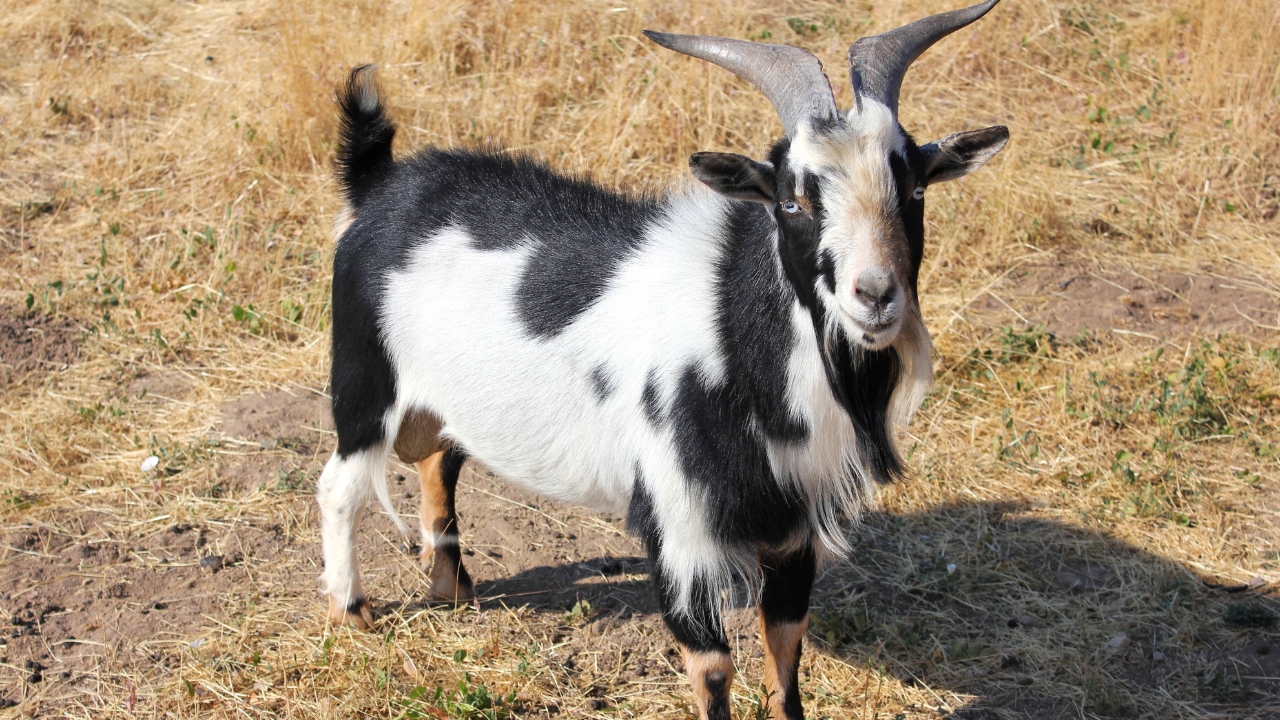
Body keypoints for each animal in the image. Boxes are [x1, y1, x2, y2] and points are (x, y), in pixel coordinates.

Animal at [318, 2, 1008, 718]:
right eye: (793, 200)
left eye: (915, 190)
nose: (873, 296)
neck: (733, 328)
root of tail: (381, 184)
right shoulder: (680, 526)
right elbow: (712, 668)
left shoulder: (791, 524)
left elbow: (785, 650)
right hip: (365, 378)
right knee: (340, 484)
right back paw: (351, 611)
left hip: (448, 399)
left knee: (437, 460)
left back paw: (452, 589)